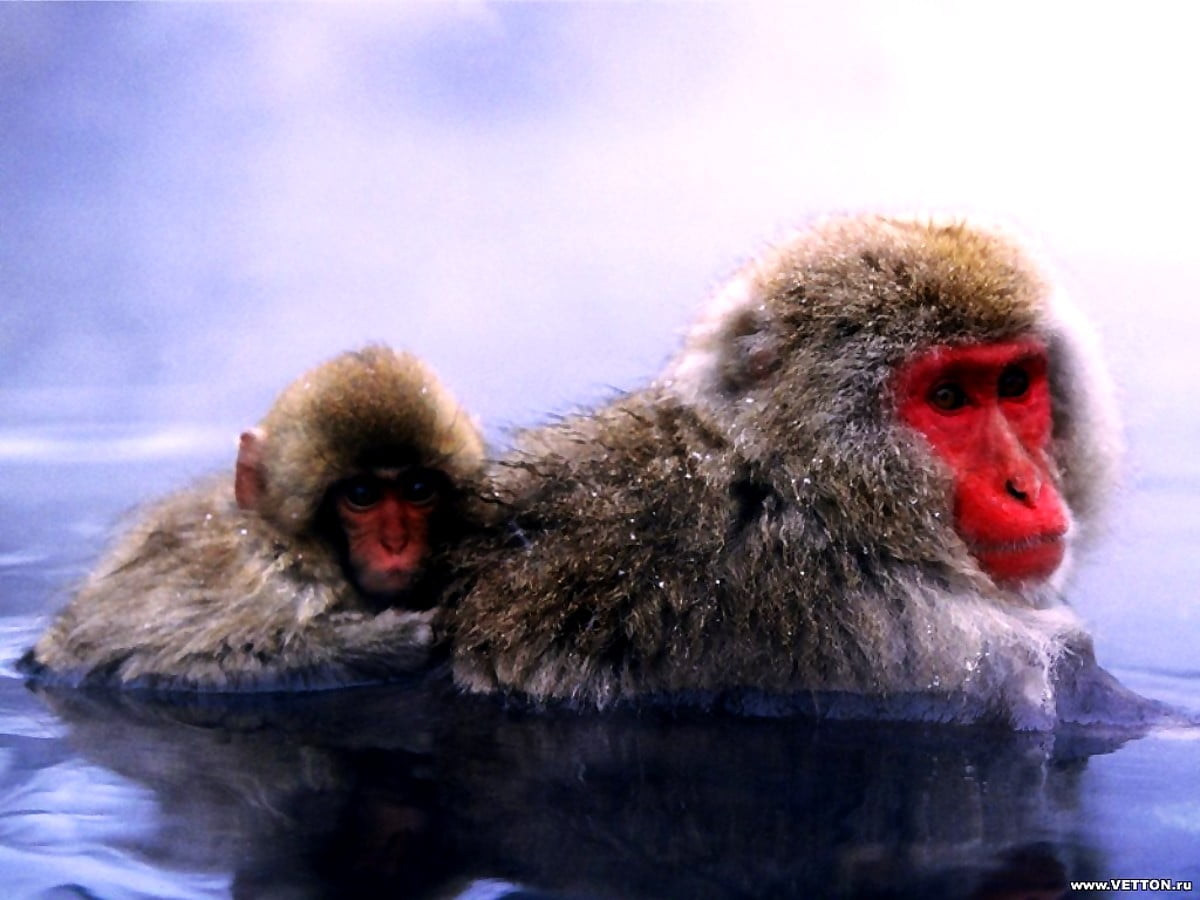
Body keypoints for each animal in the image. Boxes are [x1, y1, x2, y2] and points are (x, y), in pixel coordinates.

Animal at [22, 345, 484, 691]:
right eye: (361, 496)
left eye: (419, 489)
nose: (395, 543)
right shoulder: (268, 578)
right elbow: (151, 661)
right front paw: (384, 644)